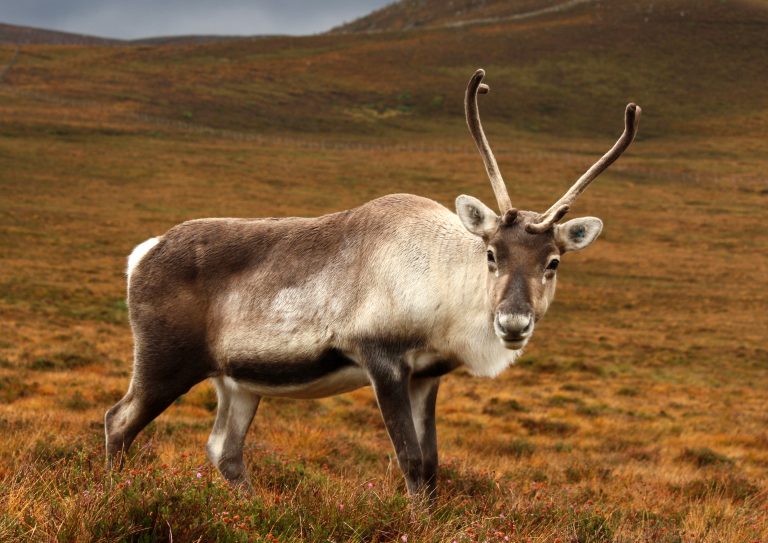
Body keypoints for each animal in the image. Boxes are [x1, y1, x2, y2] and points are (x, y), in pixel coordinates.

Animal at [105, 69, 640, 500]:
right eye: (492, 254)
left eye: (553, 262)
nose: (513, 322)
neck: (442, 282)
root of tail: (142, 253)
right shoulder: (382, 361)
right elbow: (409, 461)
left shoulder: (427, 376)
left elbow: (431, 464)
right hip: (164, 361)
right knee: (120, 421)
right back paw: (109, 495)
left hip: (237, 380)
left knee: (224, 449)